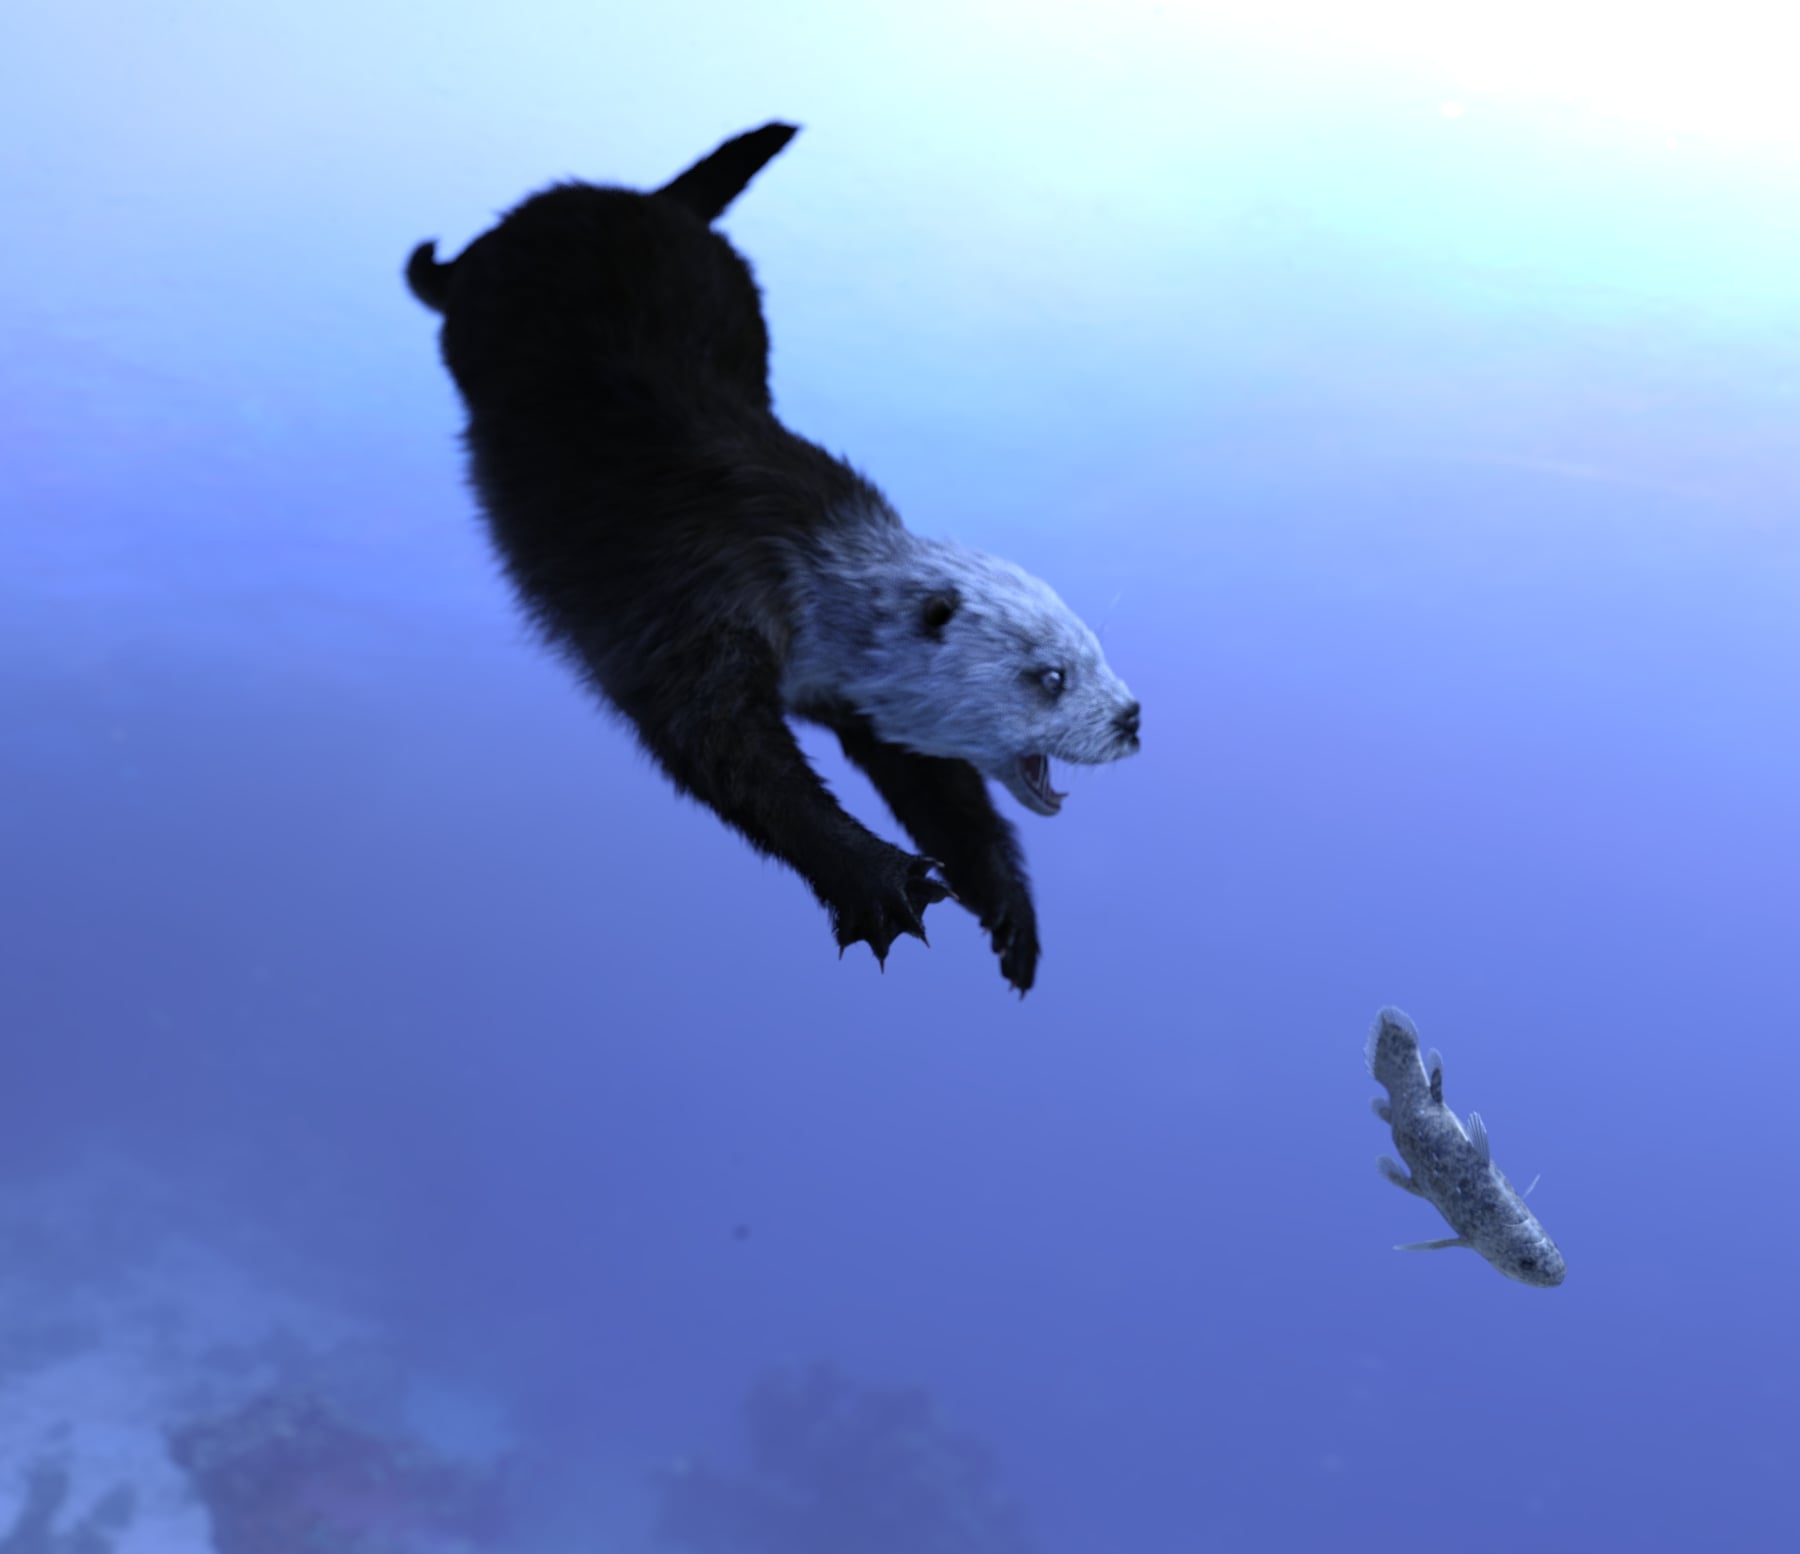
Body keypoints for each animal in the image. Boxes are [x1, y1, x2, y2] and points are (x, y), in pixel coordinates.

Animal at [405, 123, 1139, 992]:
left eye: (1095, 652)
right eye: (1050, 676)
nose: (1133, 719)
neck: (799, 561)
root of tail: (643, 197)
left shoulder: (862, 698)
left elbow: (943, 788)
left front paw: (1009, 915)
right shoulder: (694, 612)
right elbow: (732, 759)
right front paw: (880, 881)